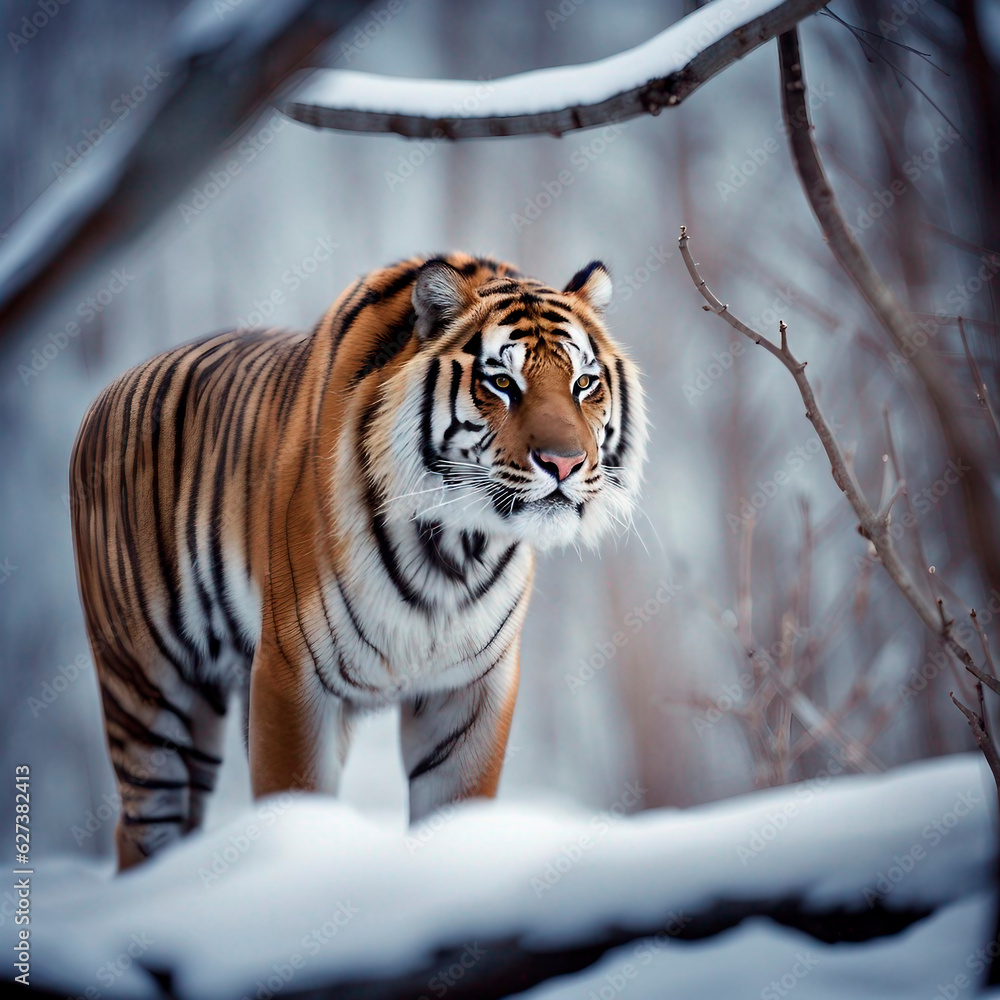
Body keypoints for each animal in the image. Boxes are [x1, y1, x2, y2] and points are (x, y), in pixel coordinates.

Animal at [70, 252, 647, 869]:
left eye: (584, 383)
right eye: (501, 383)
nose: (564, 463)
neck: (456, 551)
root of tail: (103, 395)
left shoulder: (470, 691)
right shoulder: (290, 674)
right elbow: (293, 801)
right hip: (147, 691)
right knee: (140, 829)